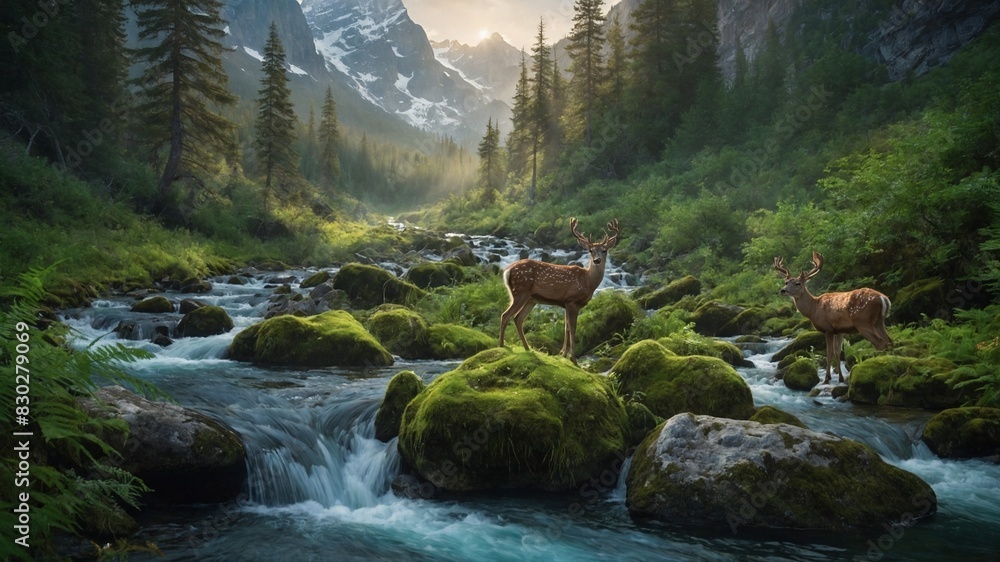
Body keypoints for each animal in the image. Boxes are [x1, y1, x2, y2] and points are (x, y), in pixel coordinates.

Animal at [499, 218, 620, 363]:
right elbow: (573, 329)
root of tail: (508, 270)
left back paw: (527, 348)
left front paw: (563, 354)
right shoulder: (572, 300)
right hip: (520, 291)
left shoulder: (566, 303)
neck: (588, 282)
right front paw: (573, 358)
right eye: (591, 250)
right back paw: (501, 345)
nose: (597, 260)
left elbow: (566, 328)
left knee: (518, 319)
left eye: (604, 250)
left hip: (530, 299)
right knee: (505, 315)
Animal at [774, 251, 892, 384]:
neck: (813, 308)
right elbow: (837, 352)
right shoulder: (839, 331)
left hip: (863, 321)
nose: (783, 290)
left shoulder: (828, 329)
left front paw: (827, 378)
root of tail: (884, 299)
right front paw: (840, 378)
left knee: (880, 342)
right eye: (786, 282)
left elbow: (829, 352)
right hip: (879, 321)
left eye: (797, 283)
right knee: (889, 341)